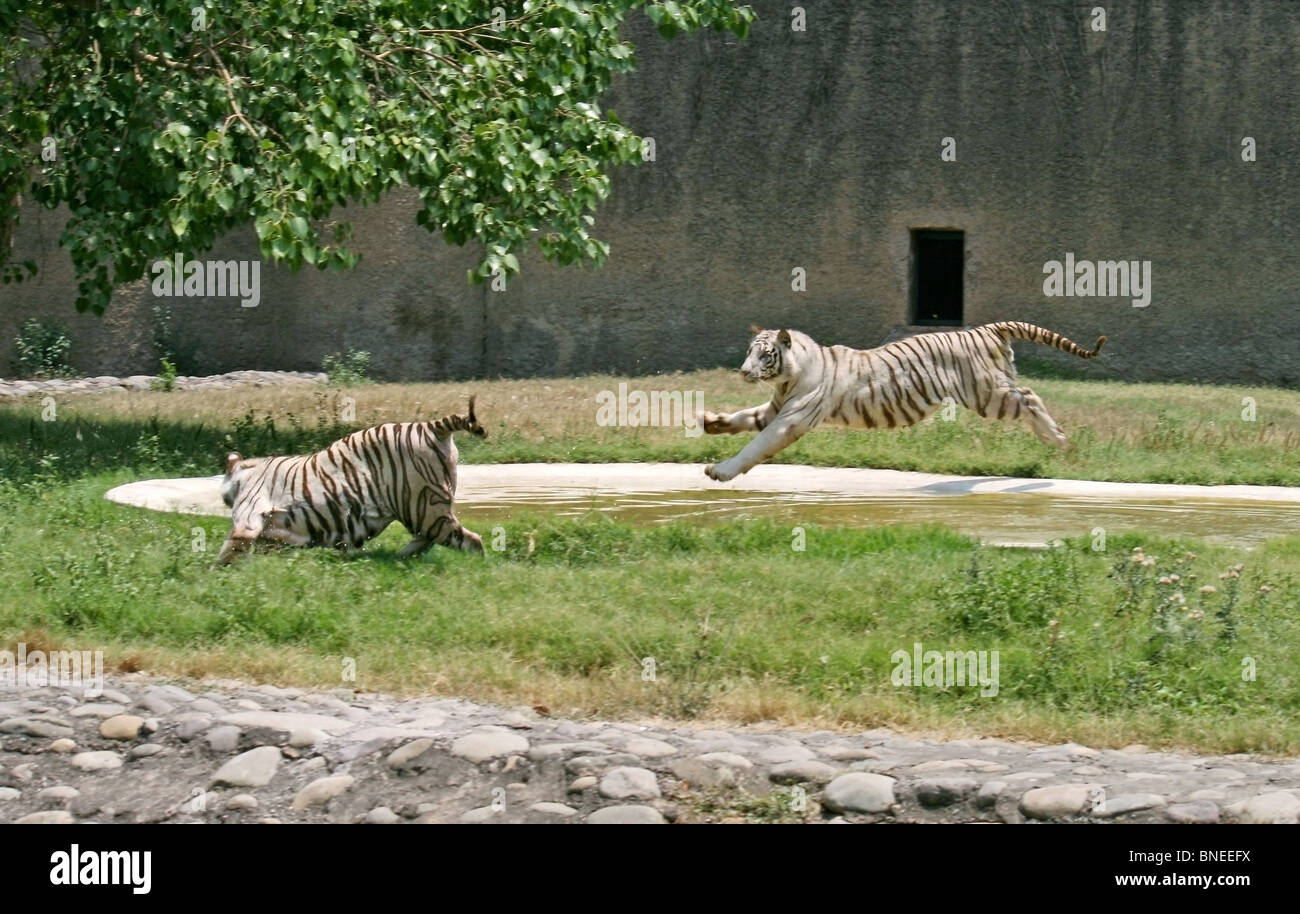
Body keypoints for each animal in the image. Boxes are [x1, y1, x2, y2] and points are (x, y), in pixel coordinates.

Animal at [216, 396, 487, 564]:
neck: (244, 473)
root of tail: (431, 426)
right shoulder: (276, 532)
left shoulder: (248, 519)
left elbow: (228, 551)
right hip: (423, 511)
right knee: (428, 540)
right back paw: (395, 557)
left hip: (423, 507)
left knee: (470, 541)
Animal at [699, 321, 1106, 482]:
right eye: (749, 352)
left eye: (764, 354)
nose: (743, 371)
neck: (787, 378)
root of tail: (987, 328)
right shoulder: (774, 409)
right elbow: (743, 418)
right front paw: (710, 421)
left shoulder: (791, 418)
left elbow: (755, 446)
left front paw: (721, 471)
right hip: (993, 392)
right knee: (1030, 397)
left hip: (988, 396)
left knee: (1032, 397)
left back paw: (1057, 439)